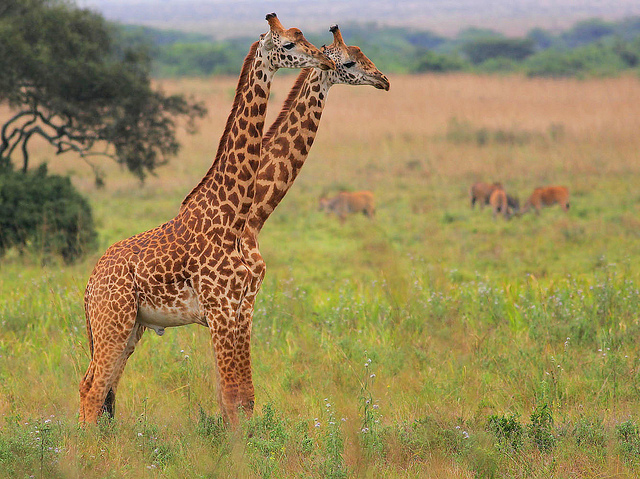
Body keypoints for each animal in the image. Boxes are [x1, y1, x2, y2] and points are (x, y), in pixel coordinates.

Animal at [79, 13, 335, 427]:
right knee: (92, 388)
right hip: (112, 324)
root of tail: (89, 286)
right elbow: (234, 397)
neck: (232, 213)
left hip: (129, 328)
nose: (324, 60)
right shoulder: (223, 309)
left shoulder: (237, 309)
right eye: (289, 44)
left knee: (101, 391)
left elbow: (239, 396)